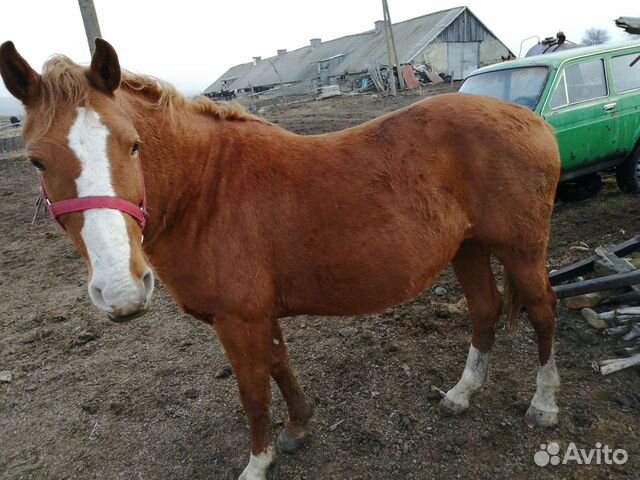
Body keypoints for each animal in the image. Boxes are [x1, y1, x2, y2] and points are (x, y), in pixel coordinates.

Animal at [0, 39, 561, 480]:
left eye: (133, 145)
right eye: (37, 160)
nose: (121, 288)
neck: (206, 191)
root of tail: (529, 118)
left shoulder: (237, 319)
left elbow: (253, 394)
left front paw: (259, 462)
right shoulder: (259, 315)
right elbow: (279, 364)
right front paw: (298, 426)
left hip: (522, 250)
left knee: (542, 312)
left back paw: (543, 405)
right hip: (468, 249)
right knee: (485, 311)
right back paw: (461, 395)